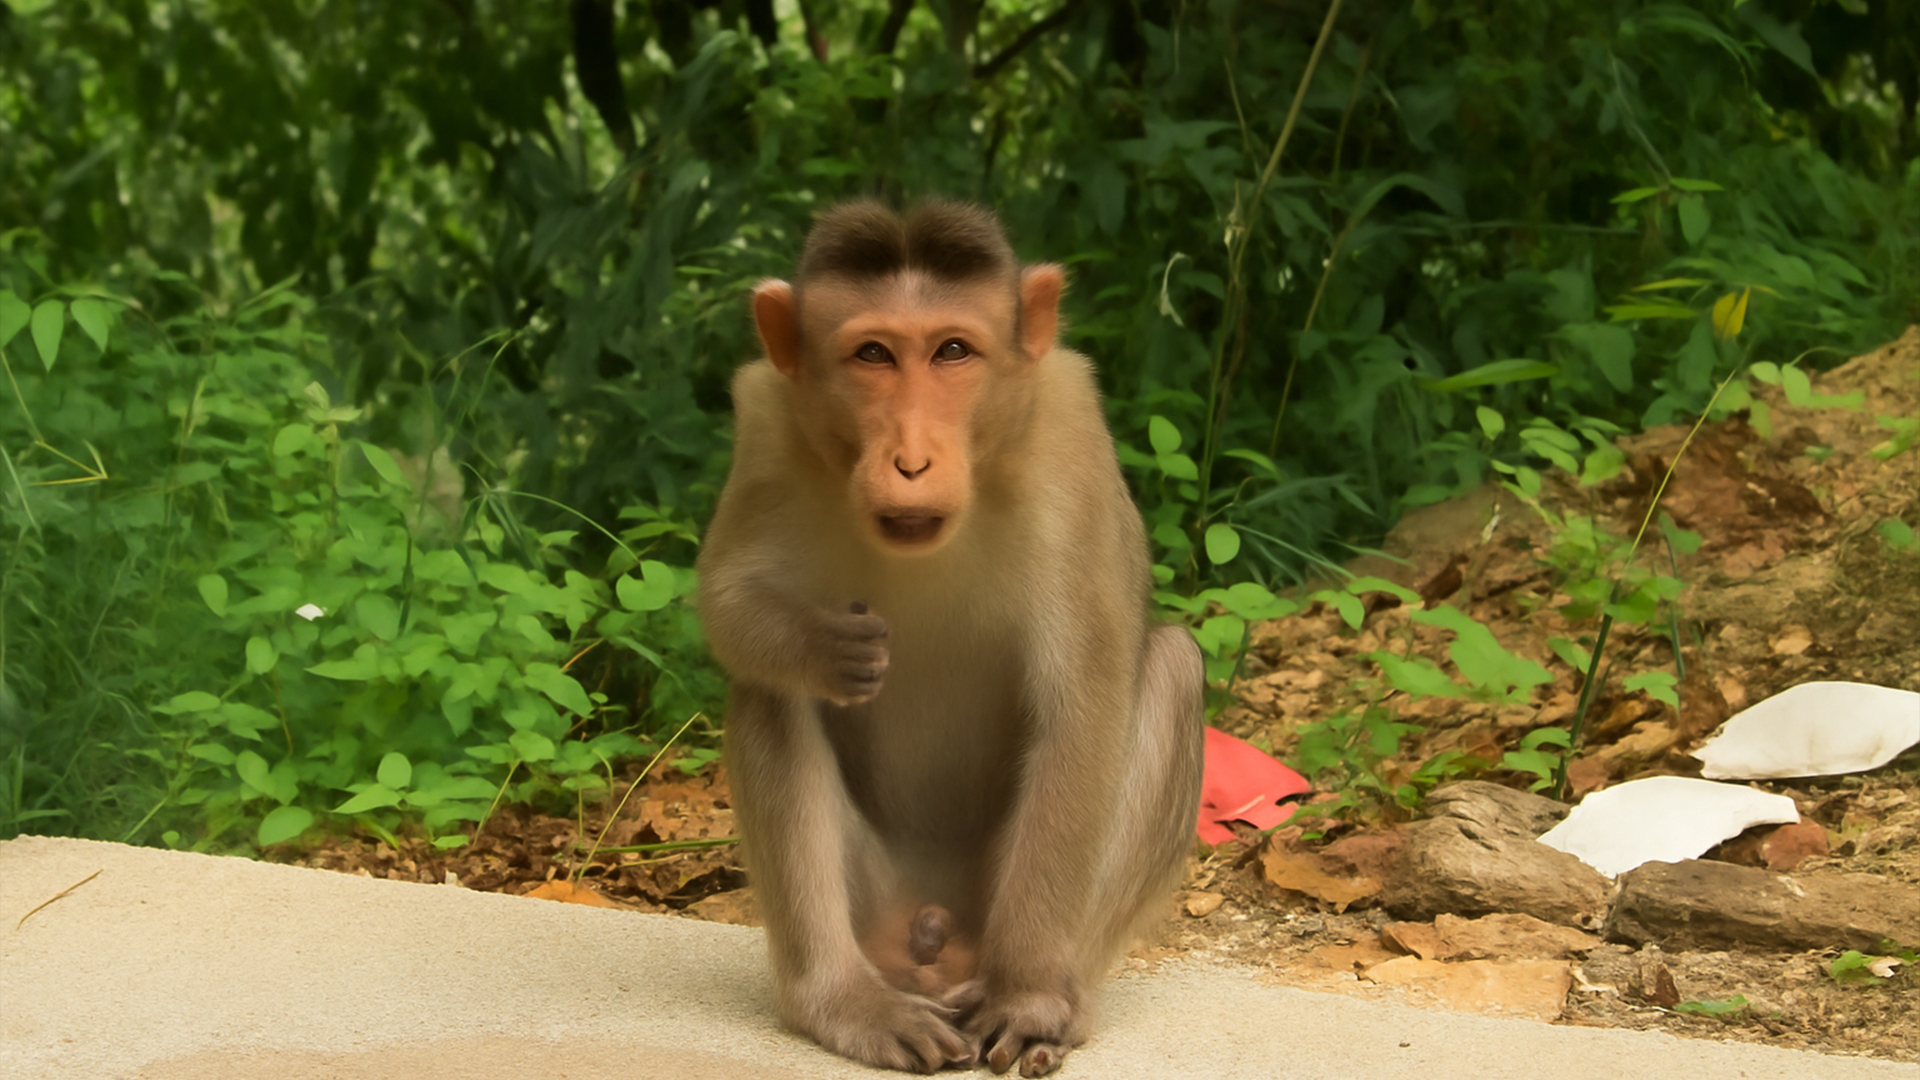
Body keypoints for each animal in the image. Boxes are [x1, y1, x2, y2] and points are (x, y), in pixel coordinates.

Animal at [696, 200, 1204, 1077]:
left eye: (952, 352)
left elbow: (1082, 707)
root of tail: (930, 937)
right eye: (873, 354)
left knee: (1173, 668)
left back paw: (1048, 992)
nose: (910, 460)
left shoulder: (1069, 439)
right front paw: (819, 646)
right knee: (768, 692)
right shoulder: (768, 421)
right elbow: (727, 597)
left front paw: (1029, 997)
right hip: (876, 904)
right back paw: (839, 999)